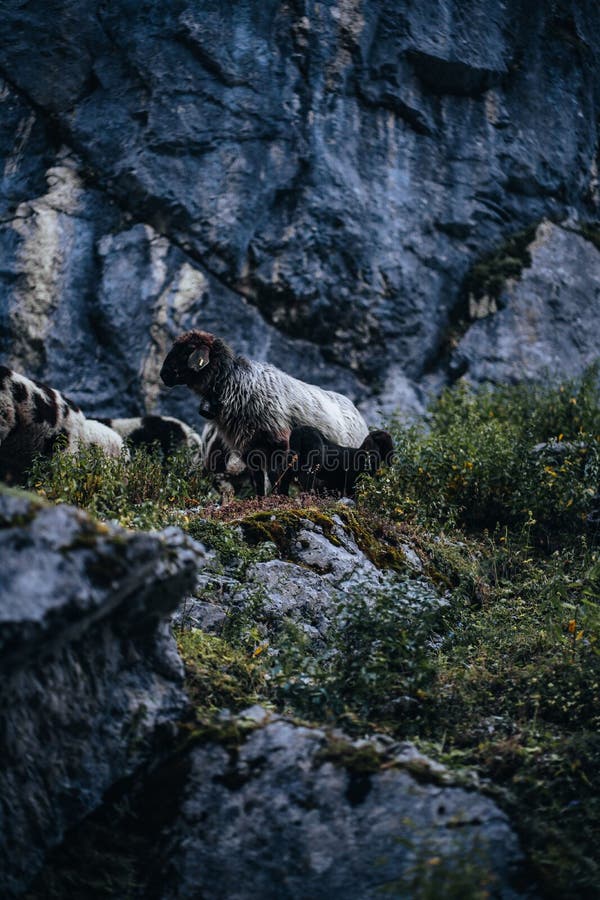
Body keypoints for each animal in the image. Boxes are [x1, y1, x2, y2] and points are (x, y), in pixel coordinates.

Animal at [160, 330, 369, 495]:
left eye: (189, 349)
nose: (164, 374)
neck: (235, 384)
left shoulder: (280, 443)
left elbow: (277, 478)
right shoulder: (250, 450)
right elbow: (259, 482)